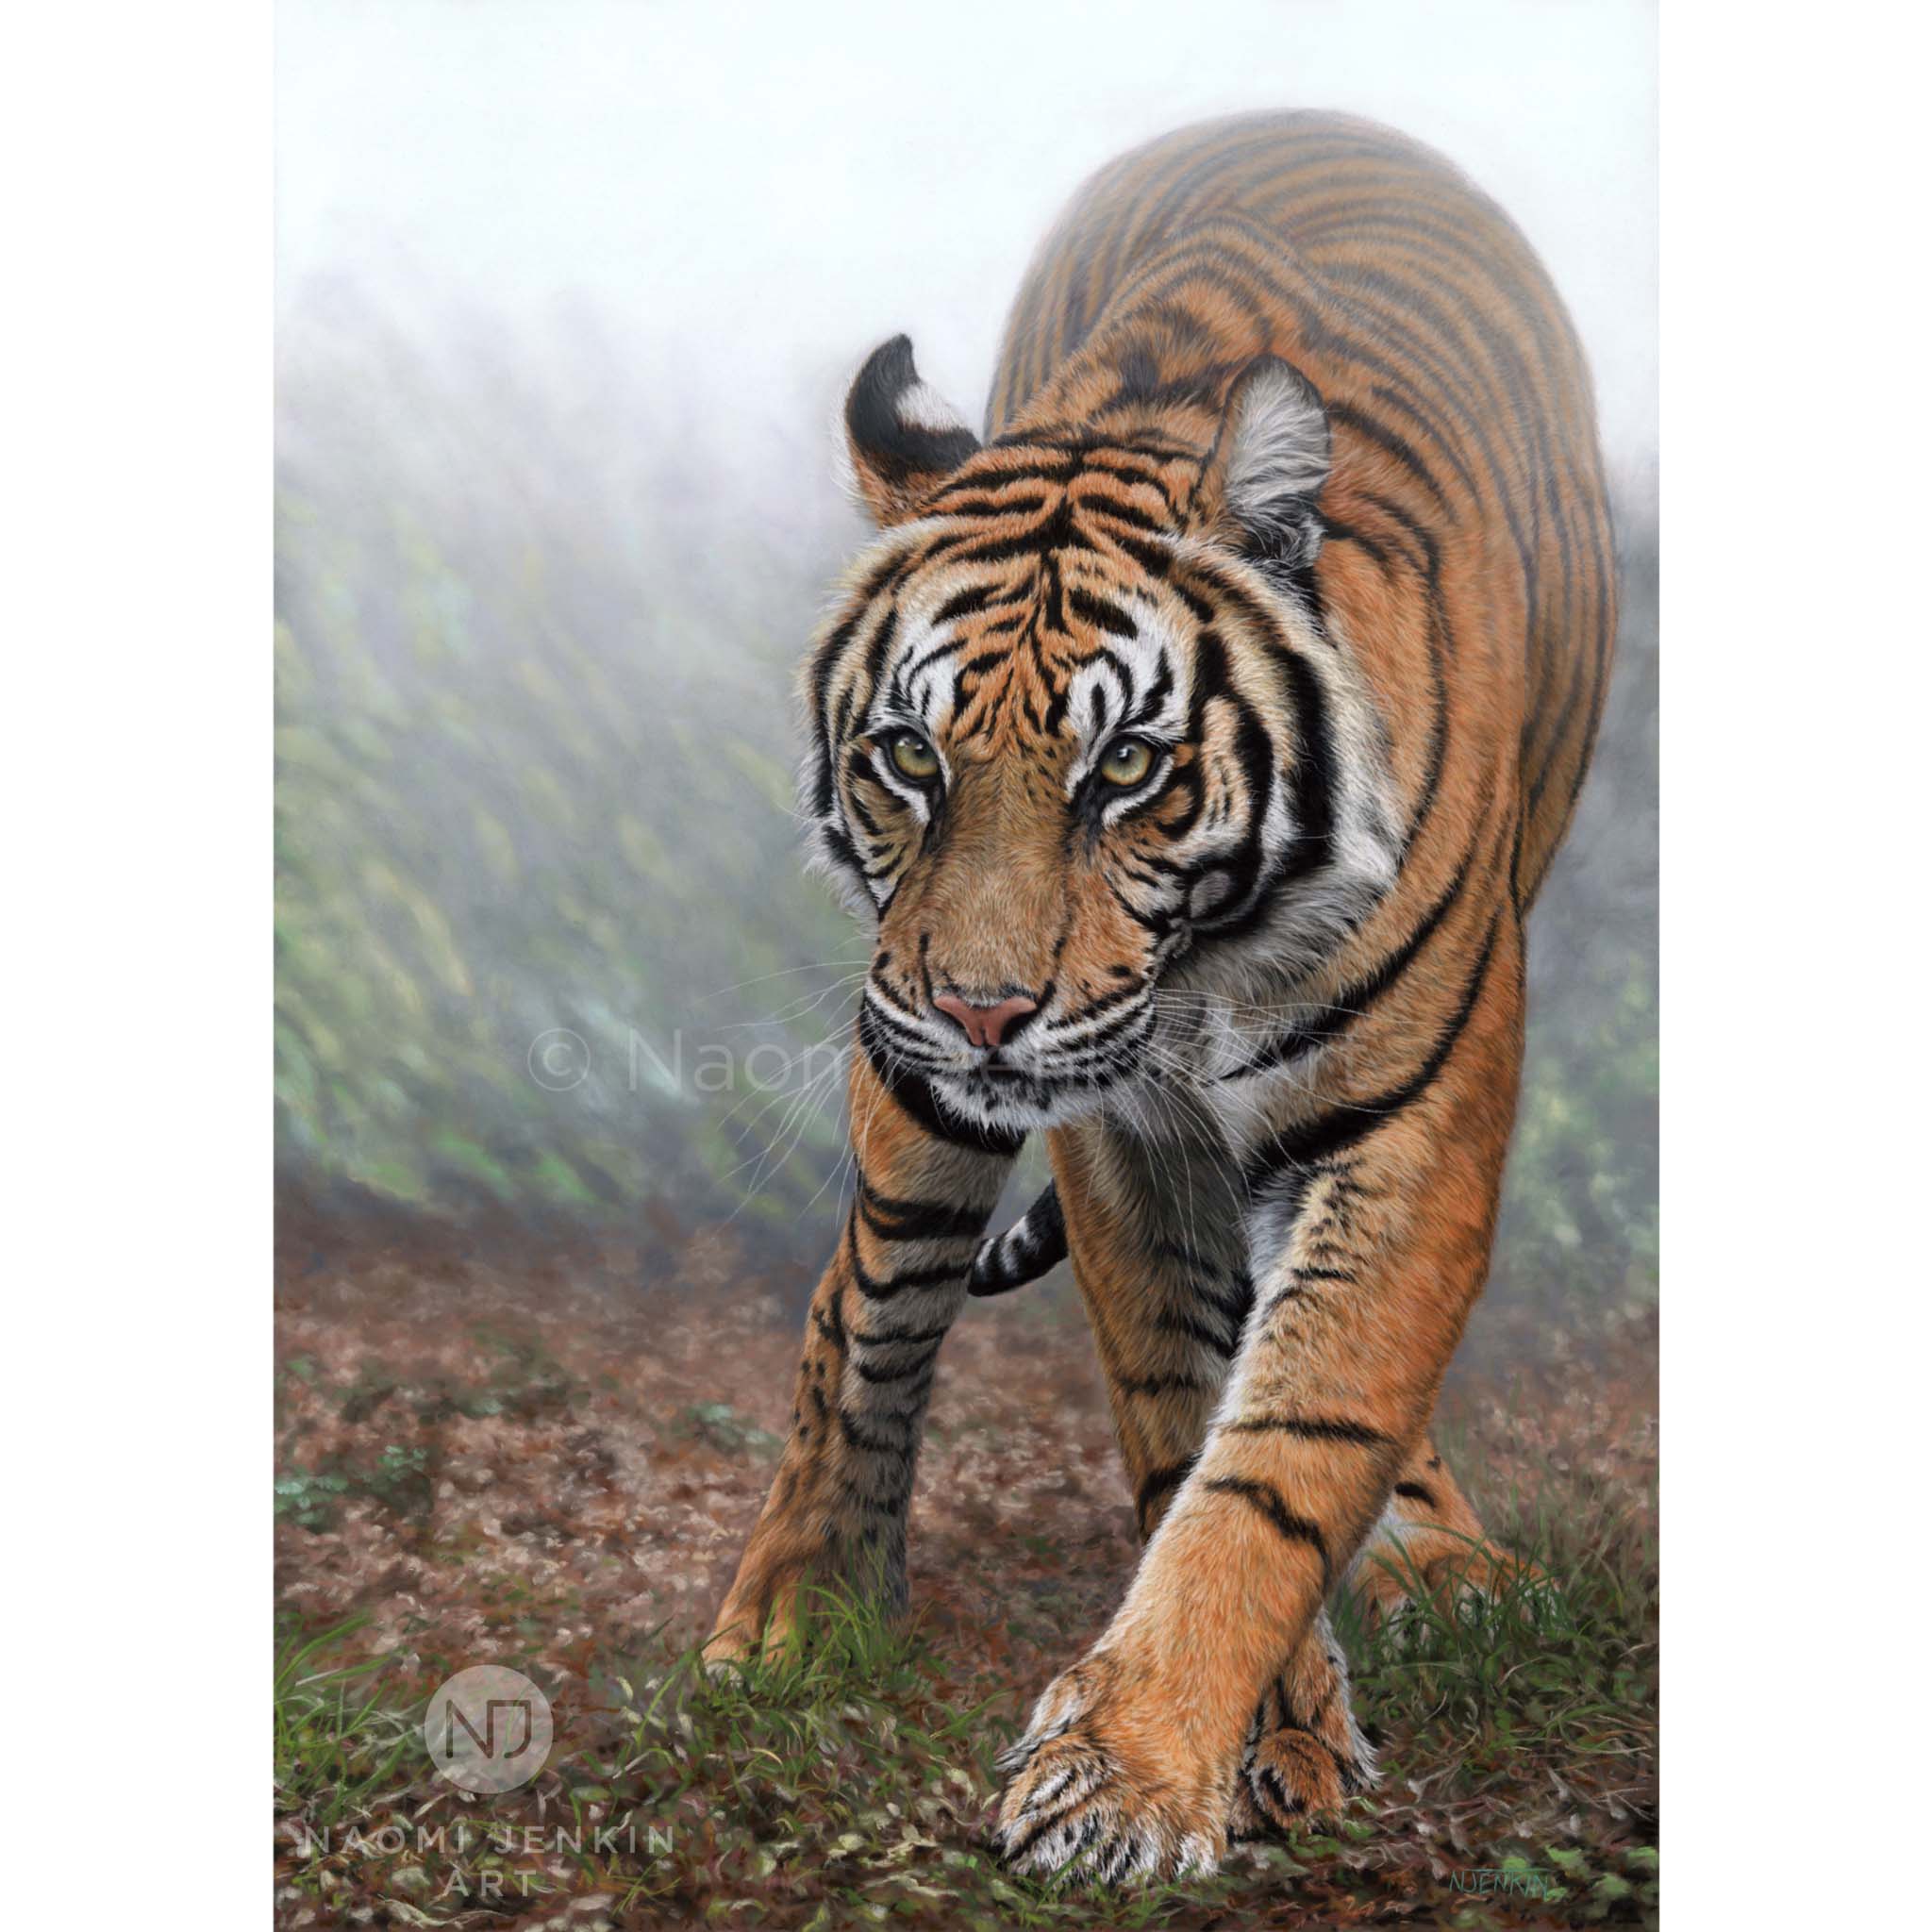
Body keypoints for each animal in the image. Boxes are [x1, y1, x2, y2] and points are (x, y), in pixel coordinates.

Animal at [705, 109, 1615, 1883]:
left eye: (1124, 766)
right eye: (909, 754)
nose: (984, 1012)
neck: (1209, 970)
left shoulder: (1410, 1132)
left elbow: (1285, 1449)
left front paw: (1138, 1767)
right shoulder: (1119, 1139)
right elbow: (1181, 1414)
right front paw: (1230, 1742)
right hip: (909, 1086)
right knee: (868, 1296)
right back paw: (793, 1603)